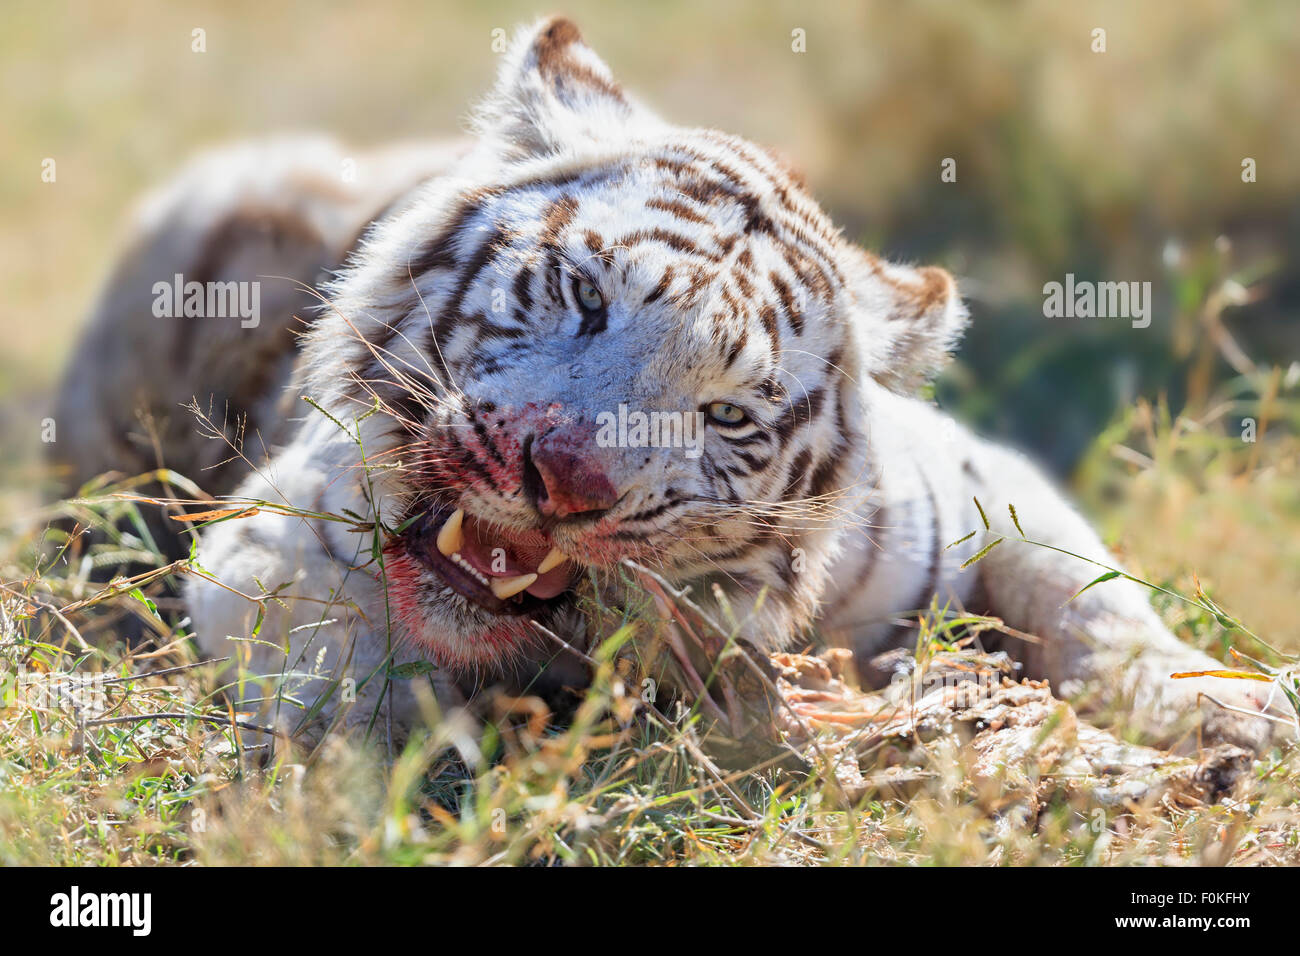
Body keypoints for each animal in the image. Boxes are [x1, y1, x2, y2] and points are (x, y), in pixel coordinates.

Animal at [54, 17, 1282, 752]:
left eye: (725, 414)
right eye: (577, 293)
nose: (561, 481)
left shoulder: (983, 483)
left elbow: (1095, 602)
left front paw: (1237, 711)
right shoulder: (278, 532)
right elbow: (335, 643)